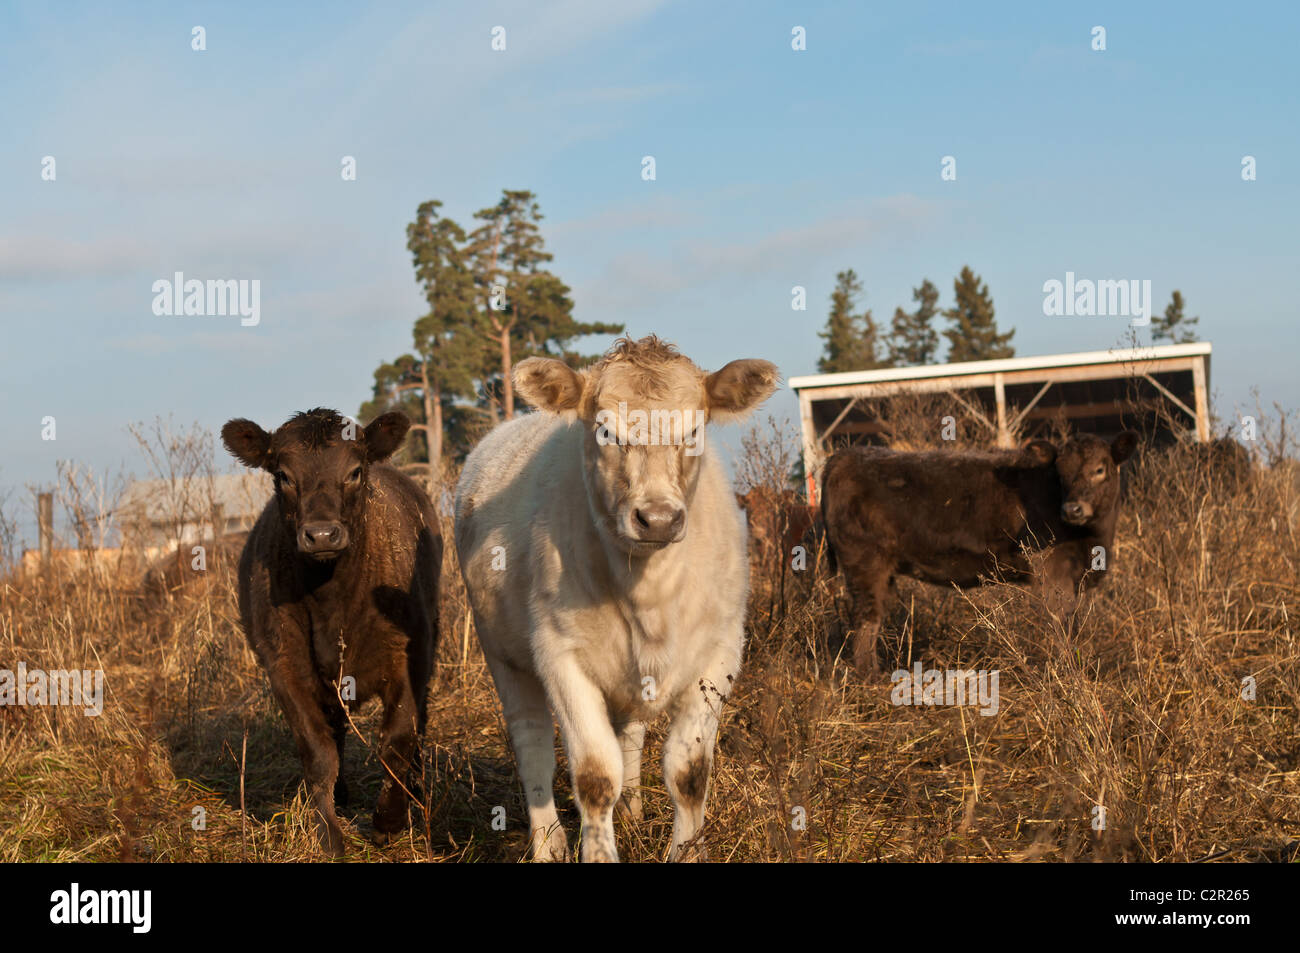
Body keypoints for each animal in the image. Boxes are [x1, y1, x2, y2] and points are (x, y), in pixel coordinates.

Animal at [220, 408, 441, 856]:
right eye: (283, 475)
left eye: (355, 471)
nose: (321, 534)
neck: (330, 601)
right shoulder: (285, 669)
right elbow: (318, 751)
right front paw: (329, 835)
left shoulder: (411, 658)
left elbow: (398, 739)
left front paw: (389, 822)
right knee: (335, 730)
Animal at [454, 336, 778, 862]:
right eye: (606, 430)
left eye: (694, 430)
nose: (659, 518)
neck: (649, 593)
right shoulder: (560, 656)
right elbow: (593, 775)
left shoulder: (722, 652)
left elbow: (689, 773)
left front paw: (685, 849)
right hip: (503, 653)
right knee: (533, 745)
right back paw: (549, 842)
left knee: (629, 733)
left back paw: (631, 810)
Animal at [820, 431, 1139, 674]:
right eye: (1060, 475)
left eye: (1100, 470)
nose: (1072, 509)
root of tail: (844, 457)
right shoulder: (1052, 572)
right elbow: (1061, 623)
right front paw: (1068, 672)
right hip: (864, 564)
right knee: (865, 620)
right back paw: (871, 679)